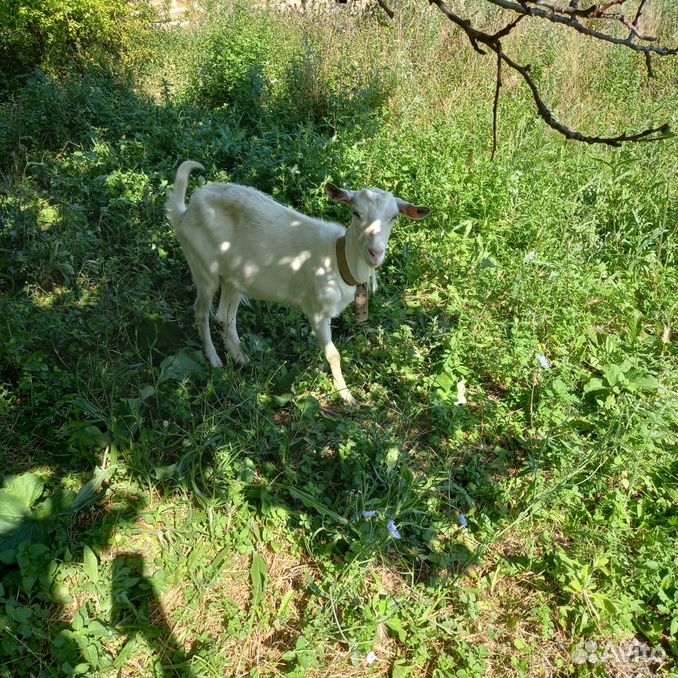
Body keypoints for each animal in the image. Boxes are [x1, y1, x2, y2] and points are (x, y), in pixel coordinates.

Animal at [166, 161, 430, 402]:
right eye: (356, 213)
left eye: (393, 217)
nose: (375, 253)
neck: (337, 261)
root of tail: (184, 212)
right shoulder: (317, 311)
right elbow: (334, 354)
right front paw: (346, 396)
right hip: (203, 267)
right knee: (201, 312)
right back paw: (215, 360)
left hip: (234, 279)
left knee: (224, 317)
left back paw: (242, 360)